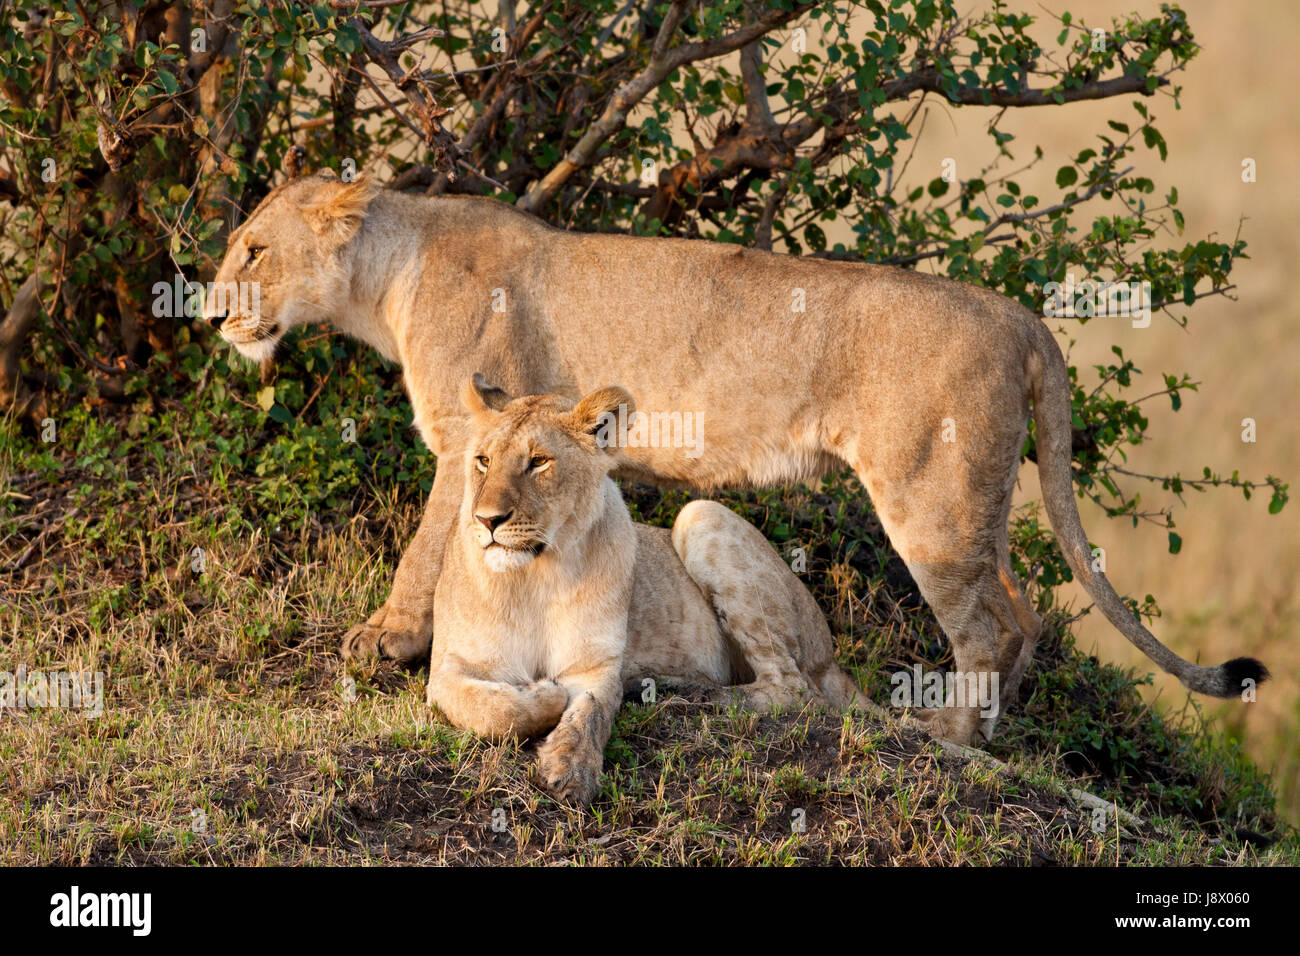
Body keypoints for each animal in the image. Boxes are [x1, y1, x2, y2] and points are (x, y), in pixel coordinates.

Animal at [207, 170, 1267, 746]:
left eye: (253, 250)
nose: (212, 313)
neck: (387, 276)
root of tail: (1019, 317)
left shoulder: (470, 434)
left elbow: (425, 551)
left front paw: (383, 640)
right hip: (981, 504)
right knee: (1025, 614)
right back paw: (991, 737)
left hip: (928, 501)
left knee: (990, 626)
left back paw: (950, 738)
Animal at [427, 375, 865, 803]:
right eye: (483, 461)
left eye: (539, 462)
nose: (487, 520)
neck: (534, 576)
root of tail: (831, 656)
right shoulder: (446, 669)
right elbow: (493, 710)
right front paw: (547, 697)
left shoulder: (596, 665)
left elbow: (589, 715)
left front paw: (572, 769)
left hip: (702, 514)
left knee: (795, 690)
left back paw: (688, 695)